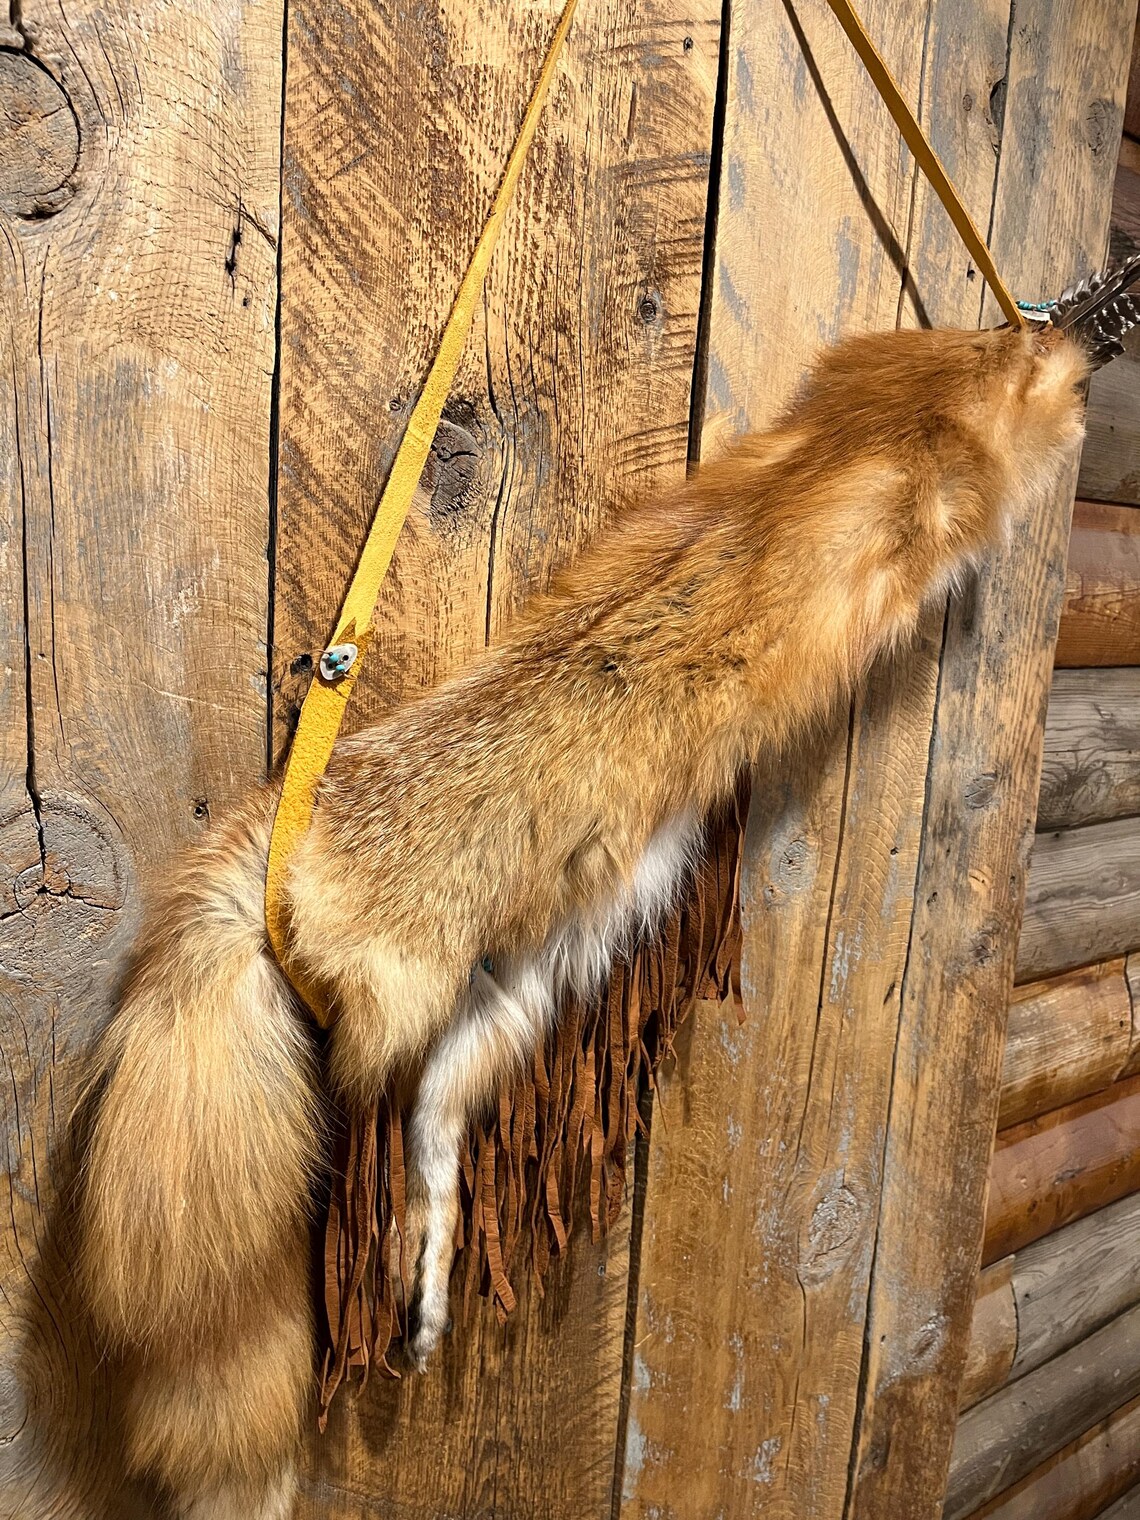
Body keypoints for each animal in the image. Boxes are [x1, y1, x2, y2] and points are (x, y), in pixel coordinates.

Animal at [77, 321, 1091, 1518]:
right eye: (1031, 342)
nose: (1075, 335)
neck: (859, 430)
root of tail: (266, 858)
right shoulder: (908, 518)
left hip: (531, 988)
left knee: (431, 1131)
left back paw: (427, 1274)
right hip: (458, 989)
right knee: (403, 1101)